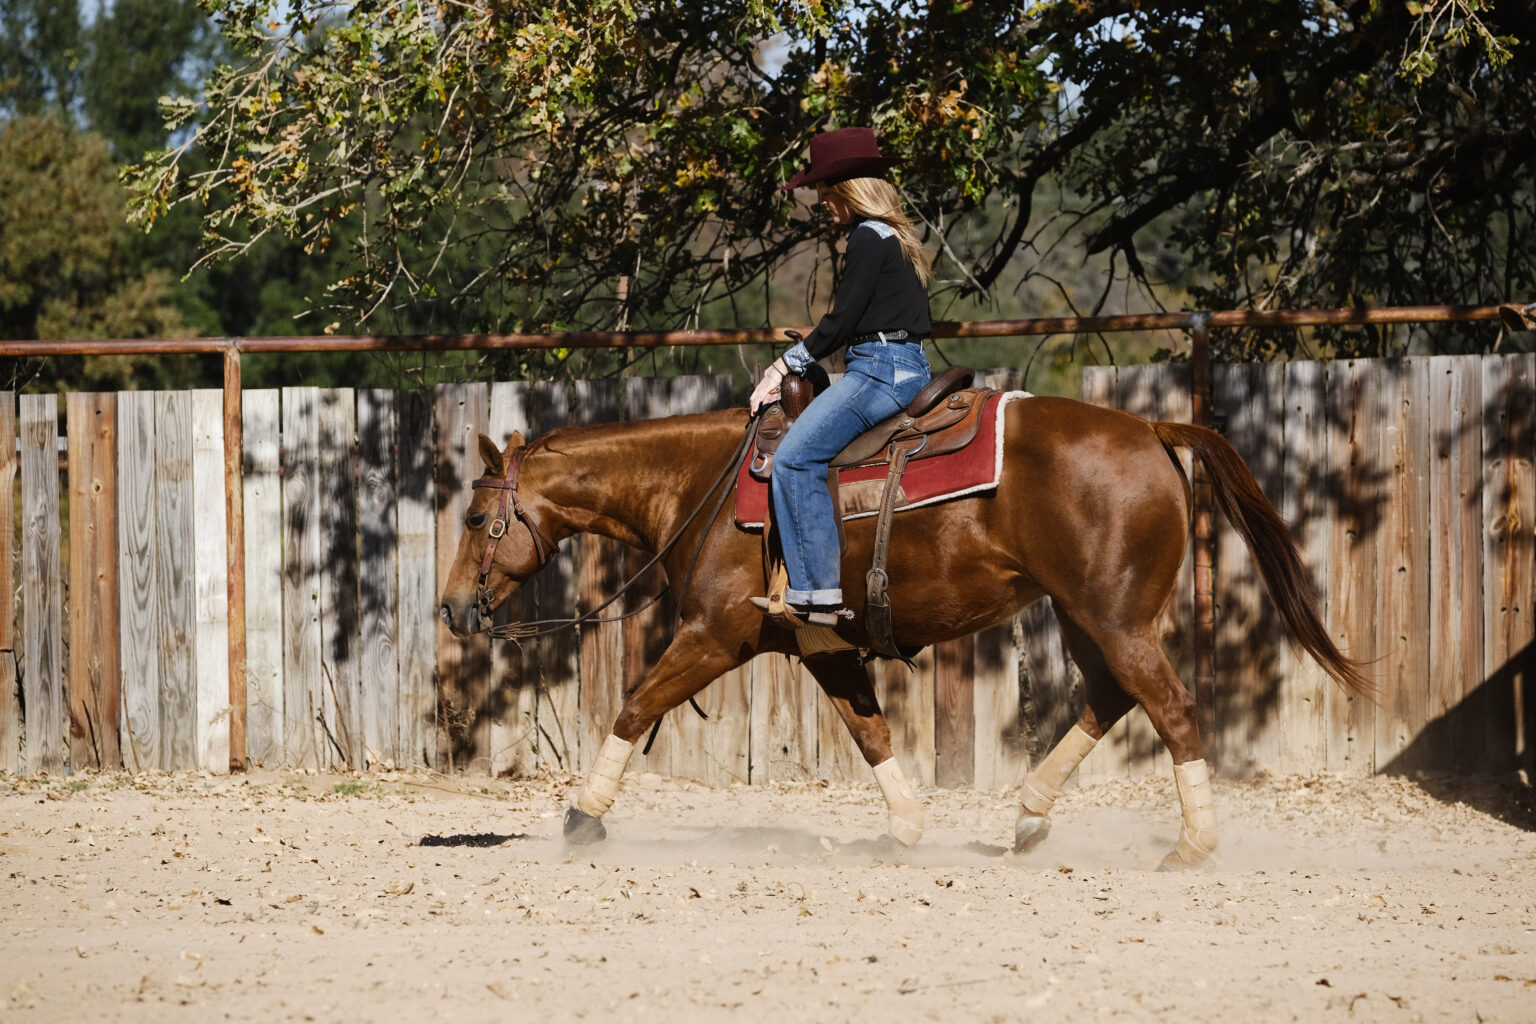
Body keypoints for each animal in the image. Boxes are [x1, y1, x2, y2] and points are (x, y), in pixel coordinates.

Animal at [438, 395, 1371, 869]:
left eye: (479, 517)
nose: (449, 608)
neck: (703, 486)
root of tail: (1150, 428)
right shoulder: (821, 650)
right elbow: (871, 731)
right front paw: (908, 829)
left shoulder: (714, 635)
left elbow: (634, 708)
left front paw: (581, 819)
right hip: (1082, 615)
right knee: (1110, 698)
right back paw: (1027, 817)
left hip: (1116, 616)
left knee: (1170, 707)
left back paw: (1192, 843)